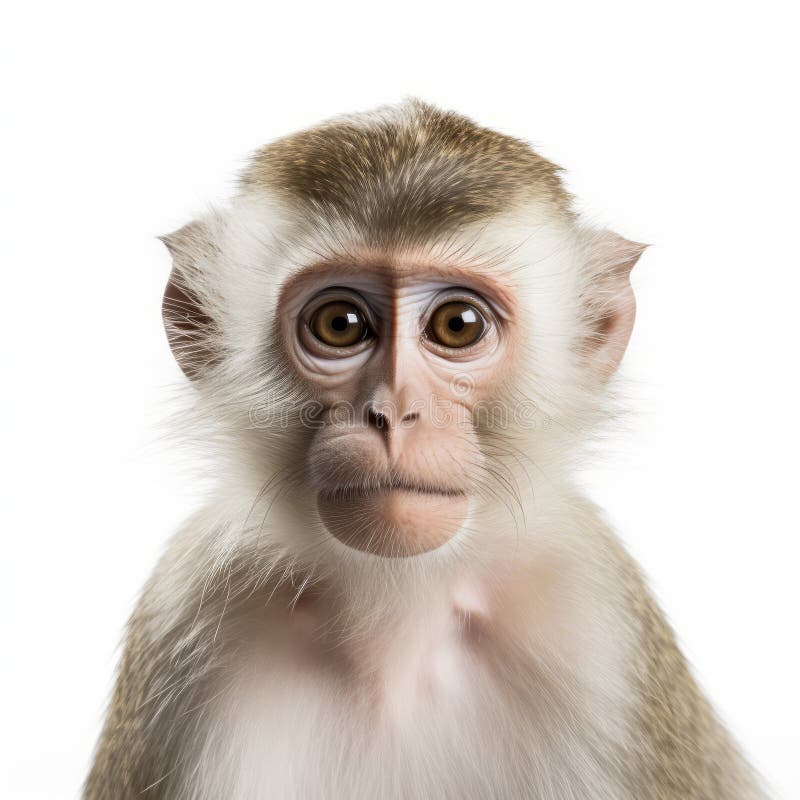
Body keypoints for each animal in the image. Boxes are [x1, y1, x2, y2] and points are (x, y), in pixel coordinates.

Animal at [84, 100, 766, 800]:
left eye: (457, 325)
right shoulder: (185, 612)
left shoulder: (598, 623)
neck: (397, 622)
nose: (394, 414)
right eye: (340, 324)